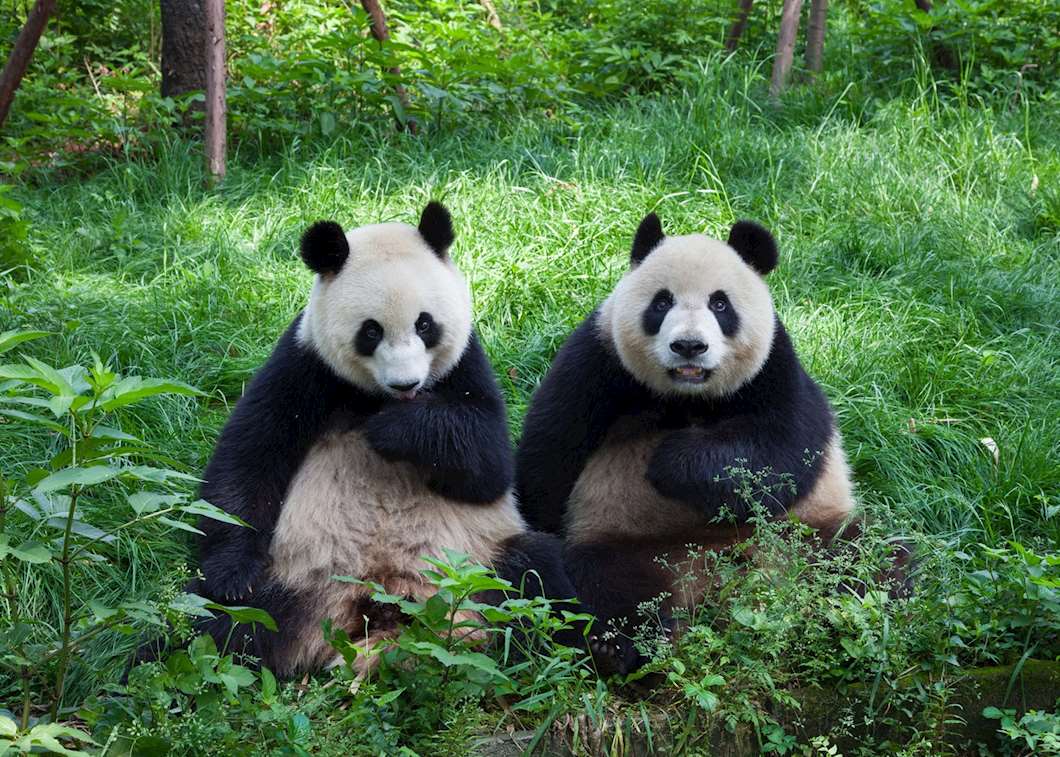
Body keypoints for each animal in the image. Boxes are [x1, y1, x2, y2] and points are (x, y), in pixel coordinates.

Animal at [189, 202, 581, 677]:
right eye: (371, 331)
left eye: (425, 324)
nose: (405, 384)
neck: (375, 397)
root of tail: (380, 612)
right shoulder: (306, 363)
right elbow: (251, 455)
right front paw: (232, 576)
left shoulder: (465, 364)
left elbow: (489, 466)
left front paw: (394, 430)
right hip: (292, 579)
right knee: (213, 622)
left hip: (479, 564)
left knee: (536, 580)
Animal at [516, 213, 906, 674]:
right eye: (661, 303)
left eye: (720, 305)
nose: (689, 346)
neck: (689, 397)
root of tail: (715, 582)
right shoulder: (598, 359)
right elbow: (551, 450)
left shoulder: (774, 368)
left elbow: (783, 452)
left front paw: (671, 461)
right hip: (630, 541)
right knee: (606, 581)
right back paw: (617, 648)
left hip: (804, 533)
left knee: (867, 557)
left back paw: (856, 616)